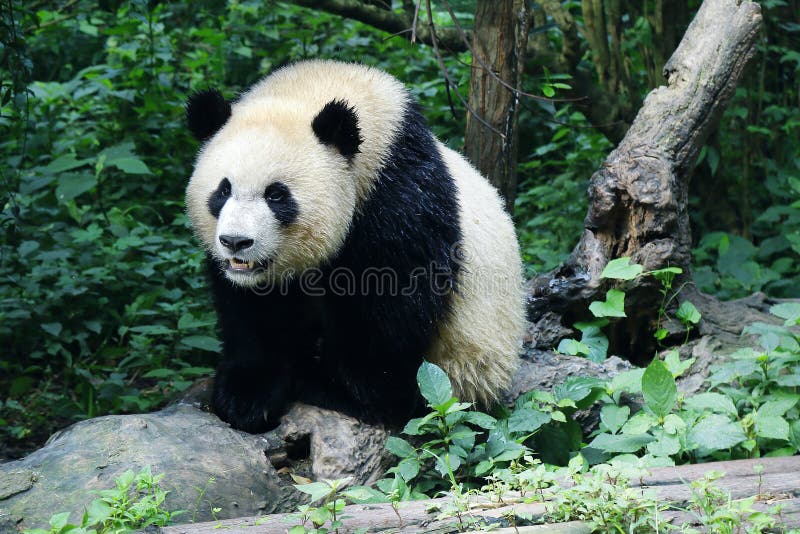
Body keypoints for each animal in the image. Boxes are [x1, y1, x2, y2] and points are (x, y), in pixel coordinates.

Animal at [185, 60, 526, 433]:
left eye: (276, 195)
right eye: (223, 190)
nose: (236, 242)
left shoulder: (396, 196)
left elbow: (391, 300)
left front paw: (341, 388)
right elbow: (253, 309)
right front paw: (247, 395)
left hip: (467, 360)